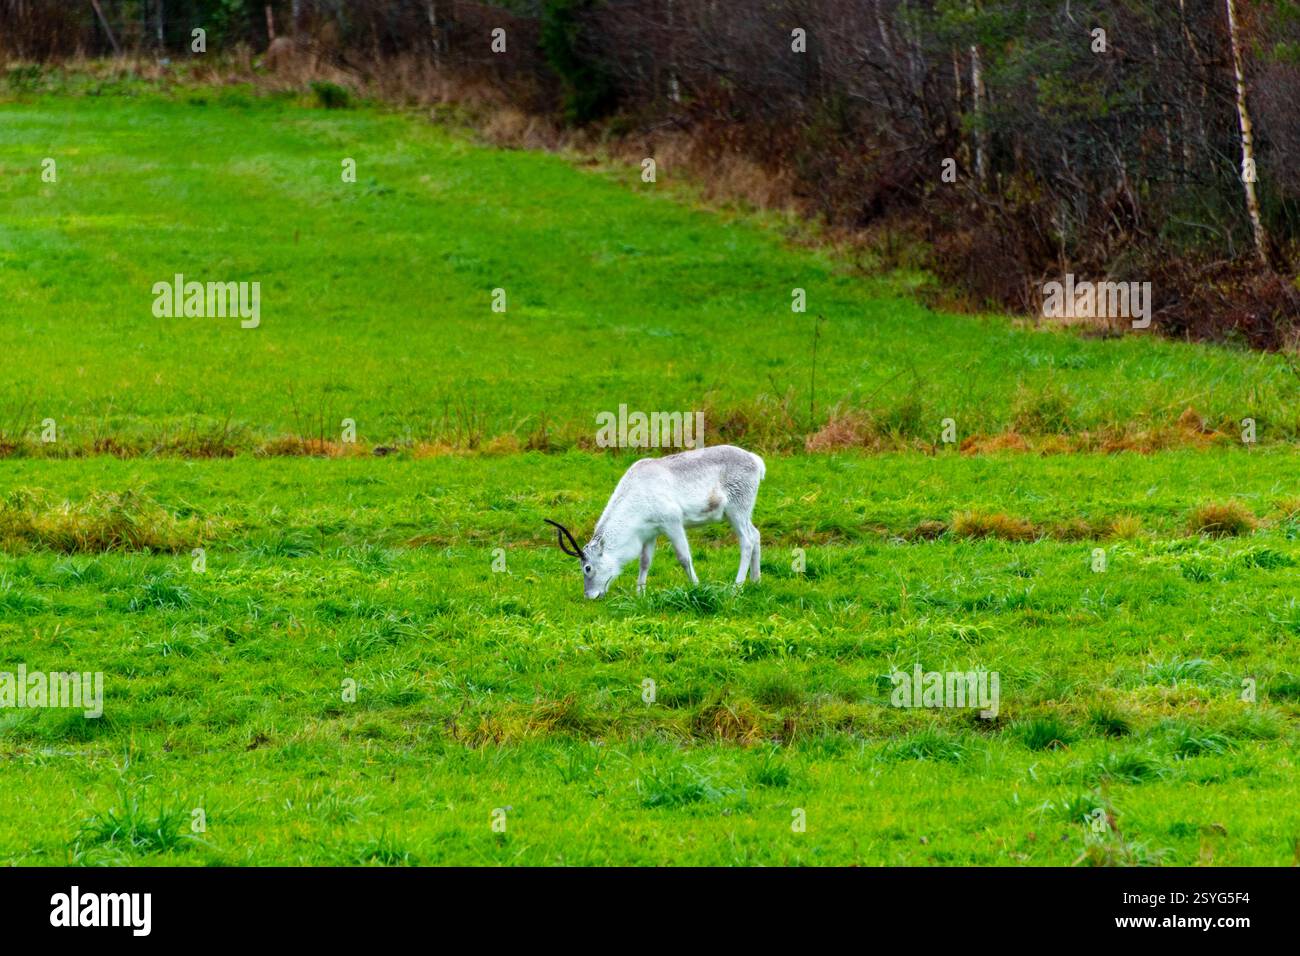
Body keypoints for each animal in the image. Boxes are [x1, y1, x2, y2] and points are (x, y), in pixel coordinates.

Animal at [544, 444, 765, 599]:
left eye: (587, 568)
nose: (590, 595)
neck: (638, 490)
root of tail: (756, 461)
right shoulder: (650, 532)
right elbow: (645, 562)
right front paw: (640, 595)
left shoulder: (672, 522)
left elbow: (684, 558)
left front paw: (697, 587)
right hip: (741, 513)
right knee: (755, 534)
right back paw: (755, 581)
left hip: (737, 510)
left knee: (746, 540)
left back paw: (736, 587)